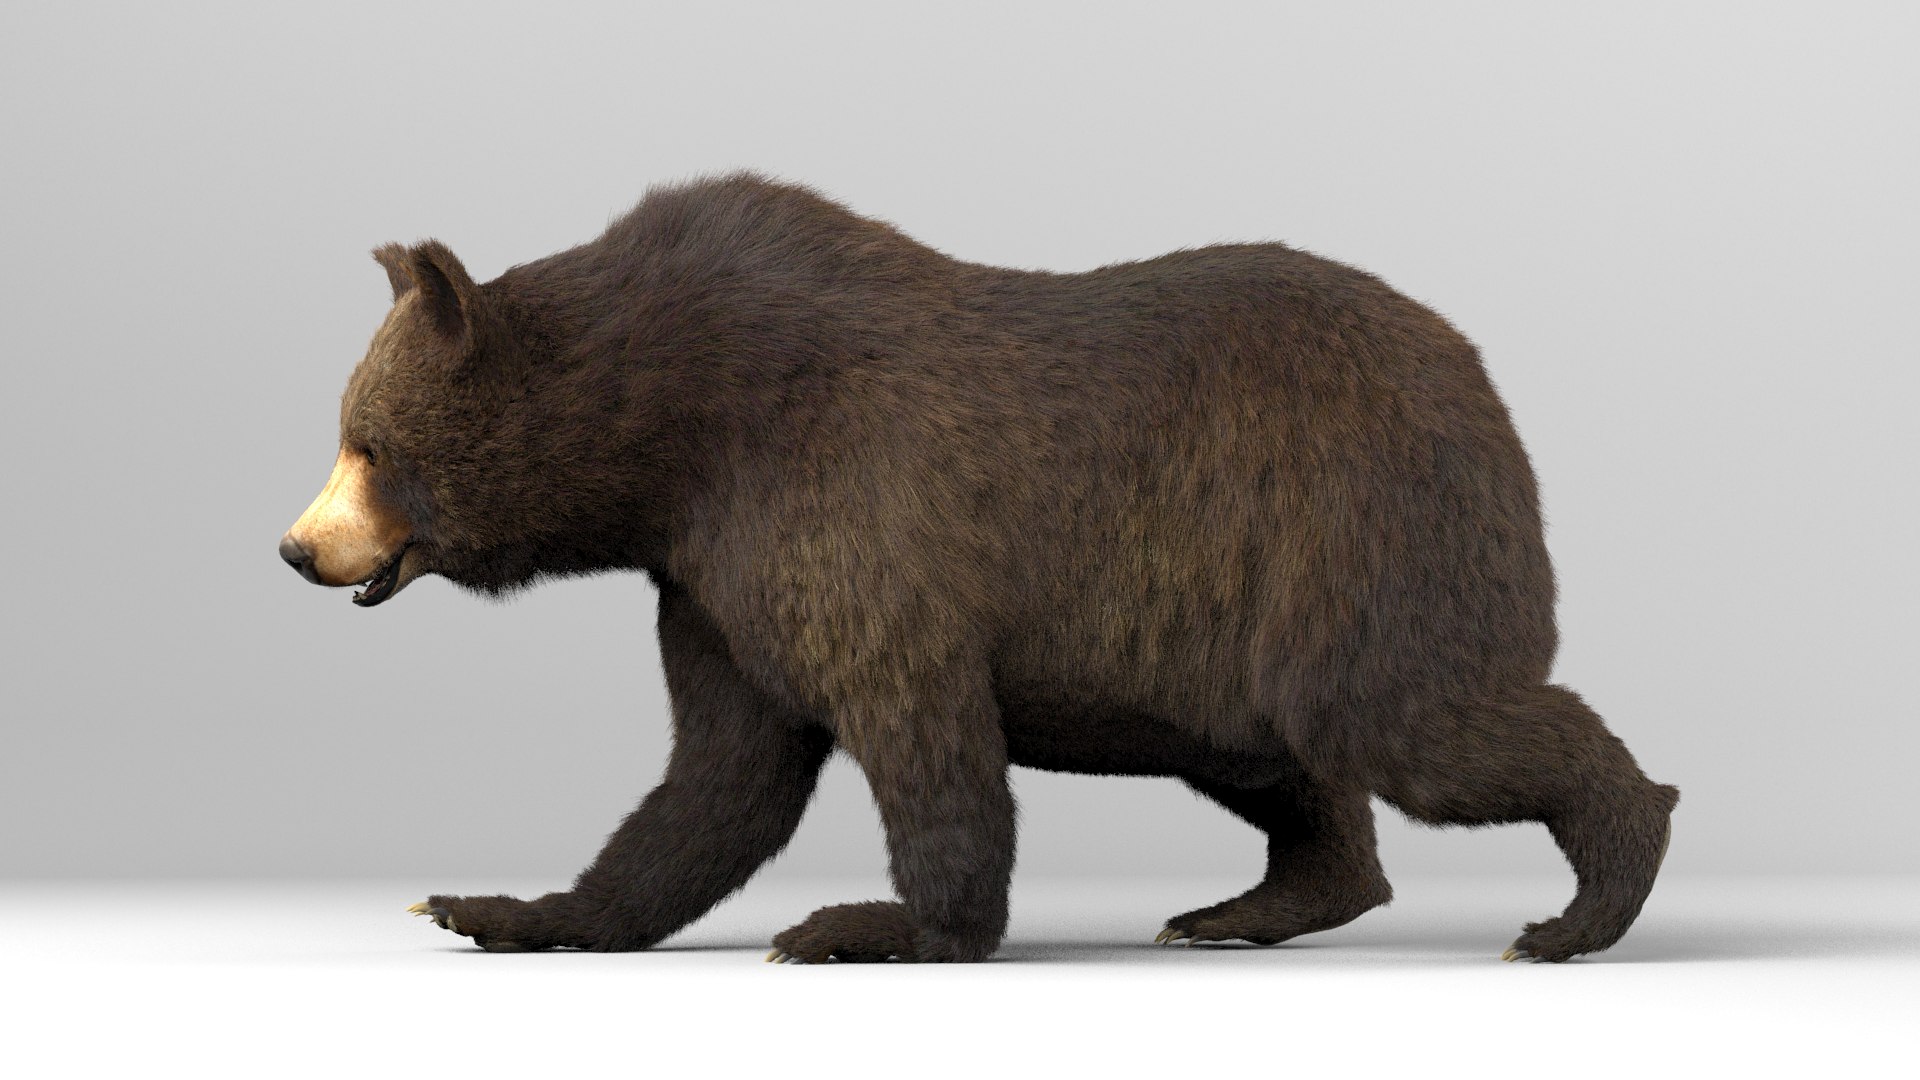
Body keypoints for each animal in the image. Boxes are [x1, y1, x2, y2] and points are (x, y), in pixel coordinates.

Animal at [279, 172, 1678, 964]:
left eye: (369, 443)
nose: (296, 547)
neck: (672, 433)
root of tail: (1477, 379)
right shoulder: (711, 580)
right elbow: (722, 771)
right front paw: (504, 910)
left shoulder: (838, 499)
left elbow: (915, 721)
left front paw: (877, 927)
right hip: (1224, 647)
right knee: (1288, 761)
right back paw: (1243, 909)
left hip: (1354, 525)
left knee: (1407, 716)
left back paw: (1585, 902)